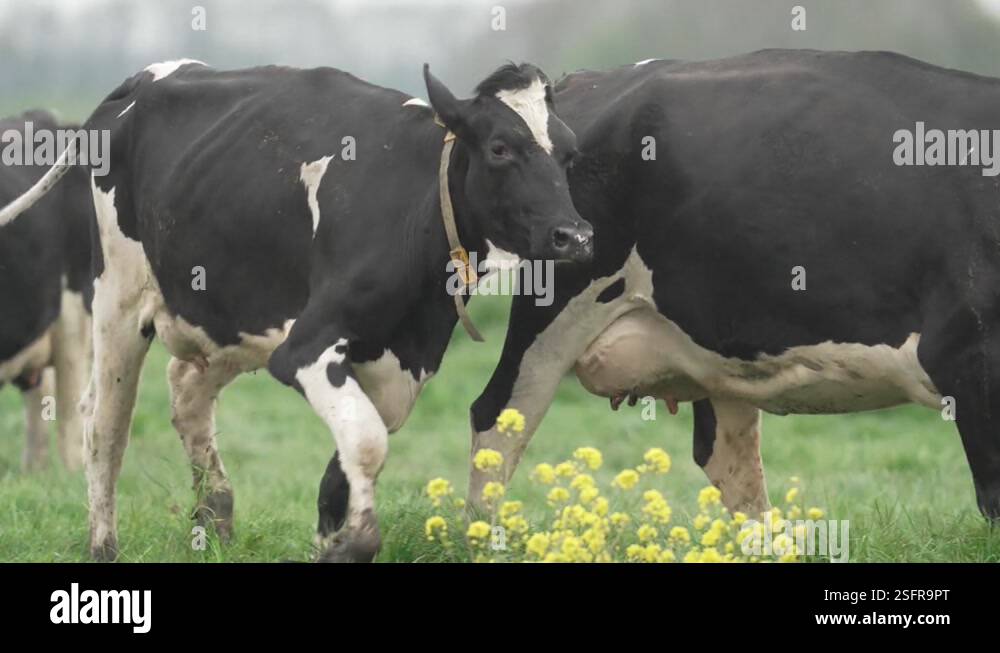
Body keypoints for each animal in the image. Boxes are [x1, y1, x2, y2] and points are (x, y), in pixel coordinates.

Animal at [468, 49, 1000, 522]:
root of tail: (586, 81)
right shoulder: (967, 354)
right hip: (554, 306)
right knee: (497, 419)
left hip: (717, 349)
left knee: (726, 457)